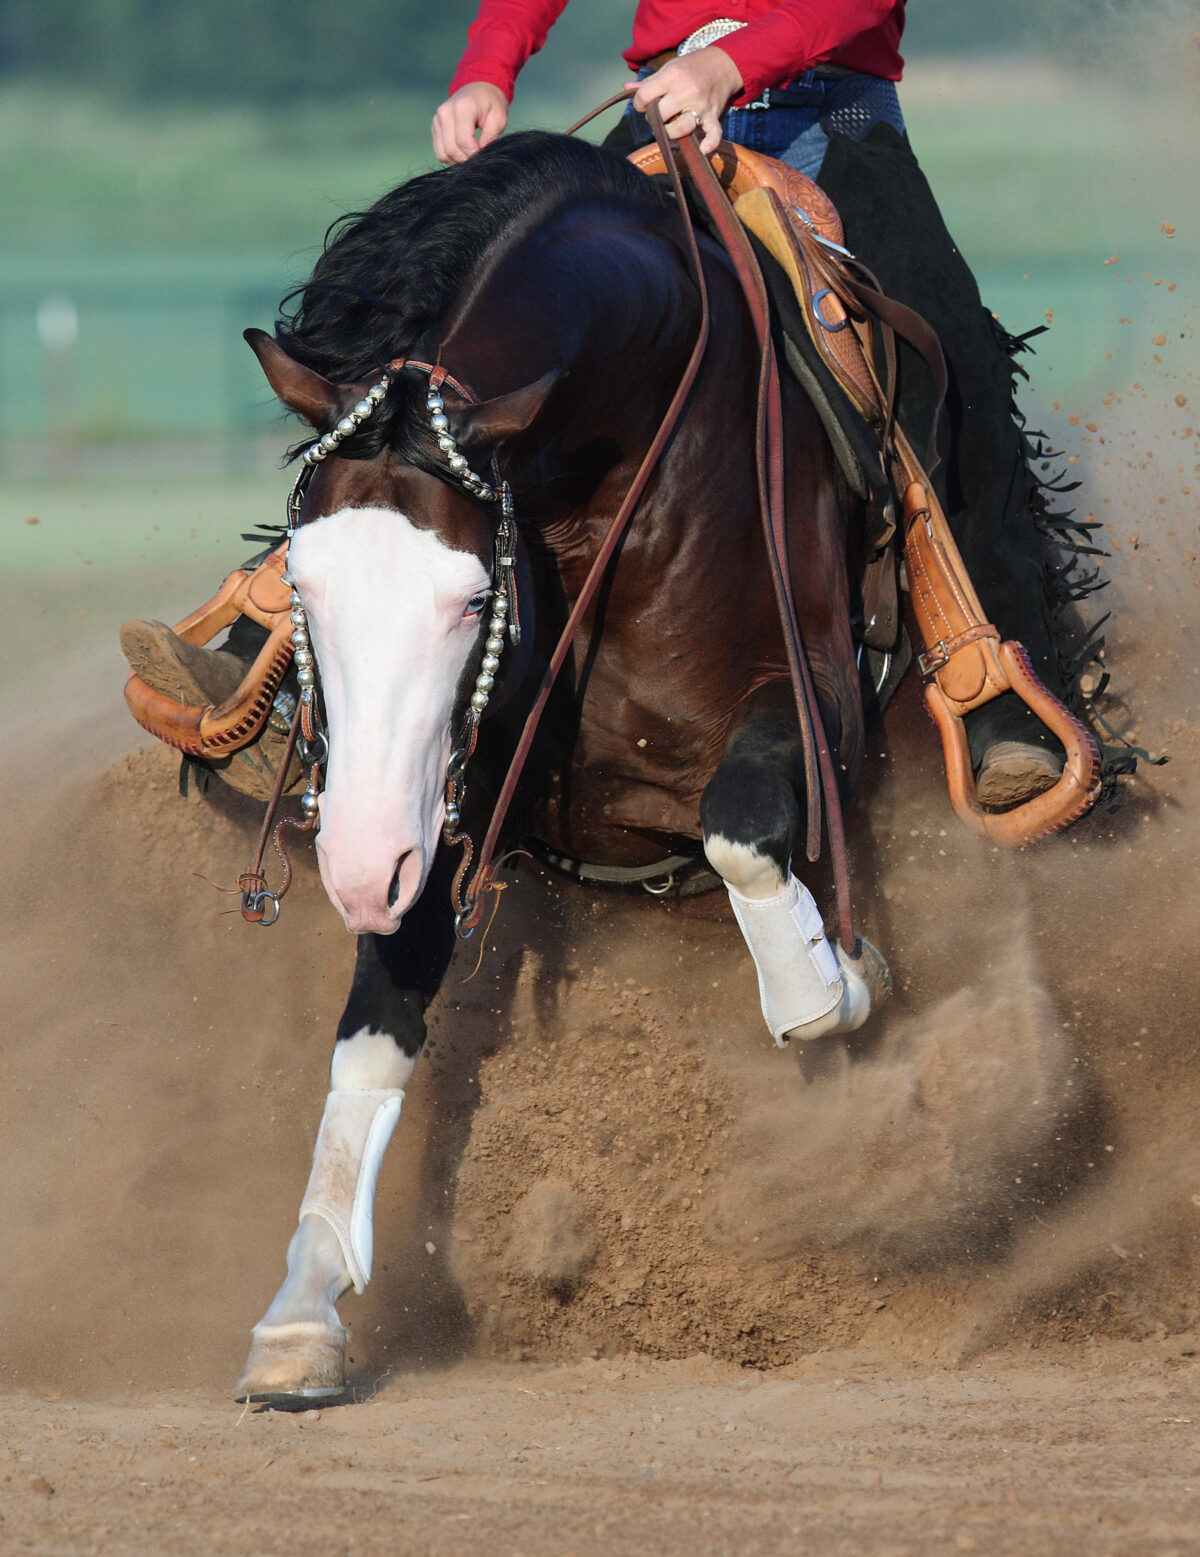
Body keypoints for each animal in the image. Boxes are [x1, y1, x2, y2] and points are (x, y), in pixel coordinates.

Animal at [229, 128, 891, 1404]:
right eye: (305, 585)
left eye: (469, 597)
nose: (351, 865)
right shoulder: (435, 804)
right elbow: (380, 1018)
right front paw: (303, 1308)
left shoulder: (817, 704)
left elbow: (743, 833)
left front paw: (830, 982)